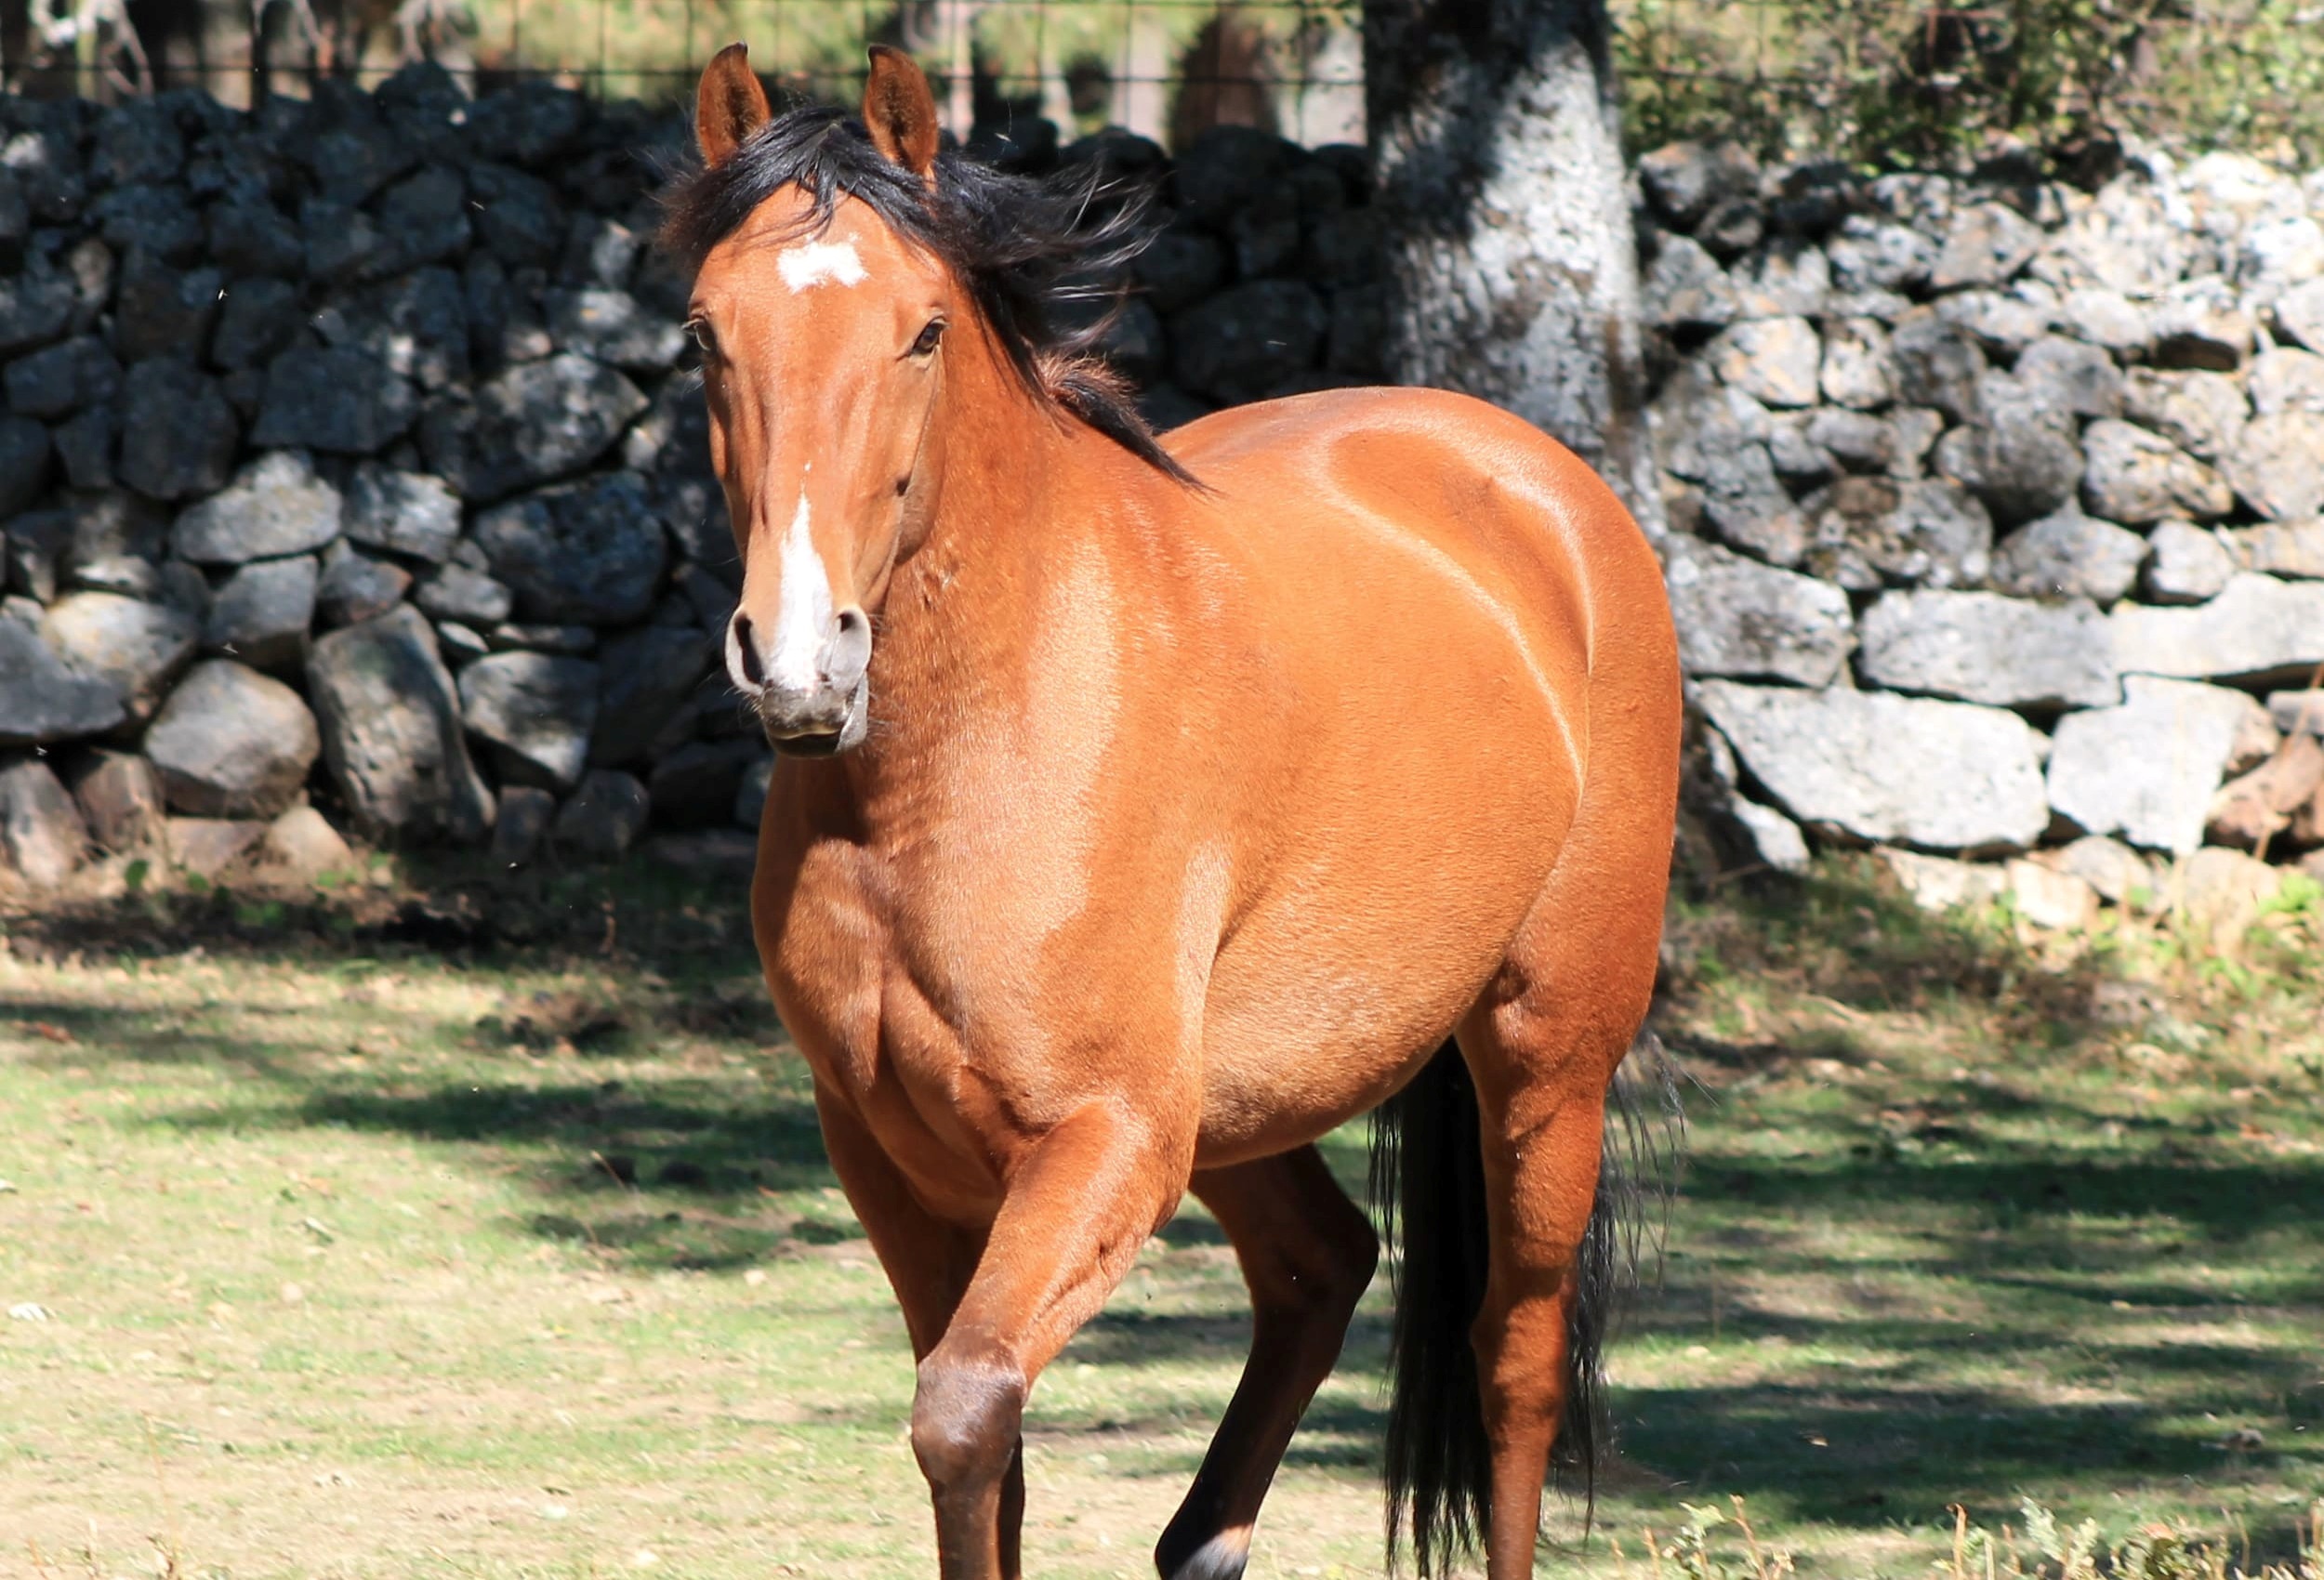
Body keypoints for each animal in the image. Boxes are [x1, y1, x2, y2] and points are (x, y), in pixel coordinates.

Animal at [662, 43, 1682, 1580]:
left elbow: (963, 1411)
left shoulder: (1107, 1141)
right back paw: (1205, 1538)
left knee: (1515, 1362)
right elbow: (988, 1460)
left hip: (1544, 1060)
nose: (797, 658)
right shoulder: (892, 1154)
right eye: (704, 337)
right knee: (1322, 1263)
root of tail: (1545, 489)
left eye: (922, 334)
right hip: (1249, 1106)